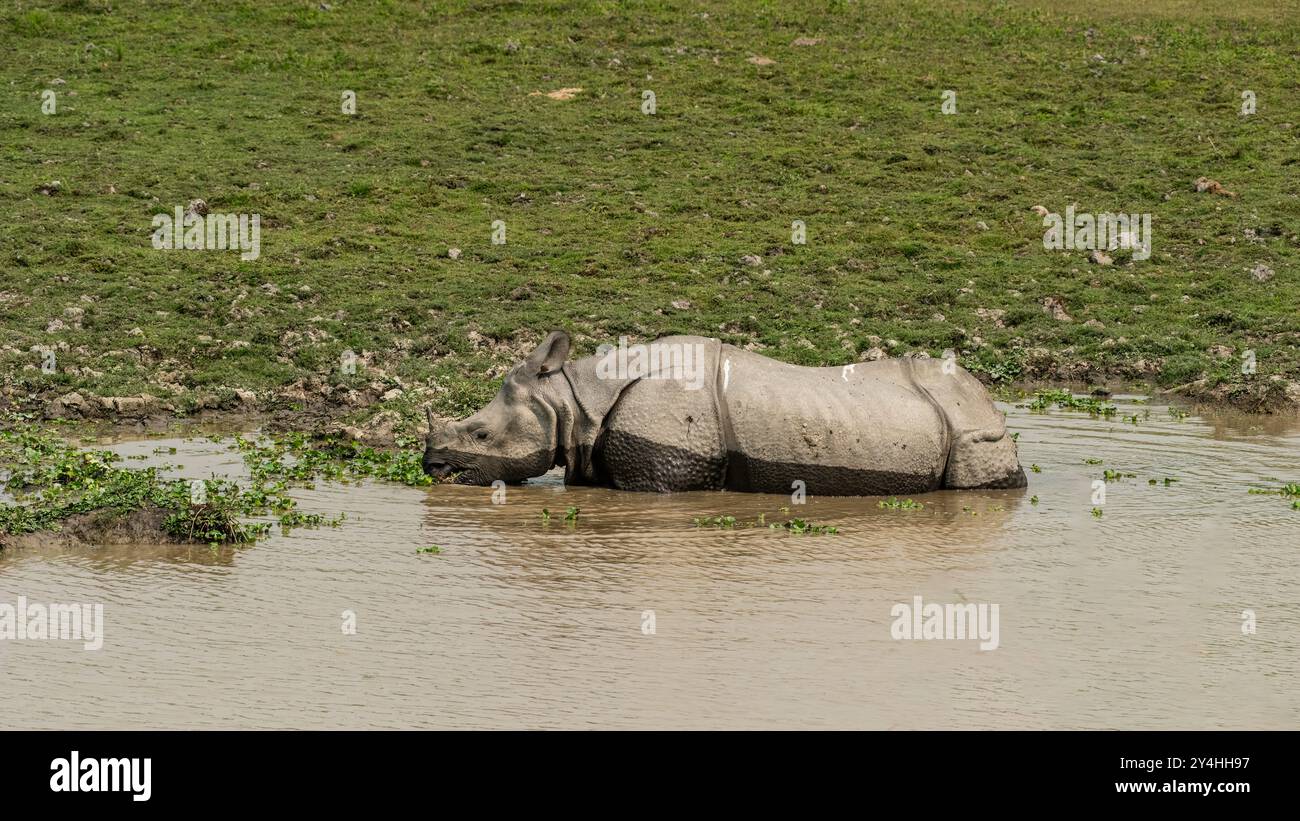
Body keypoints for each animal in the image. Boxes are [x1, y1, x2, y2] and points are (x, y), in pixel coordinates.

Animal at [423, 331, 1027, 495]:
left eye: (481, 434)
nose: (433, 468)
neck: (572, 401)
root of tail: (989, 404)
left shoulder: (661, 470)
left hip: (972, 434)